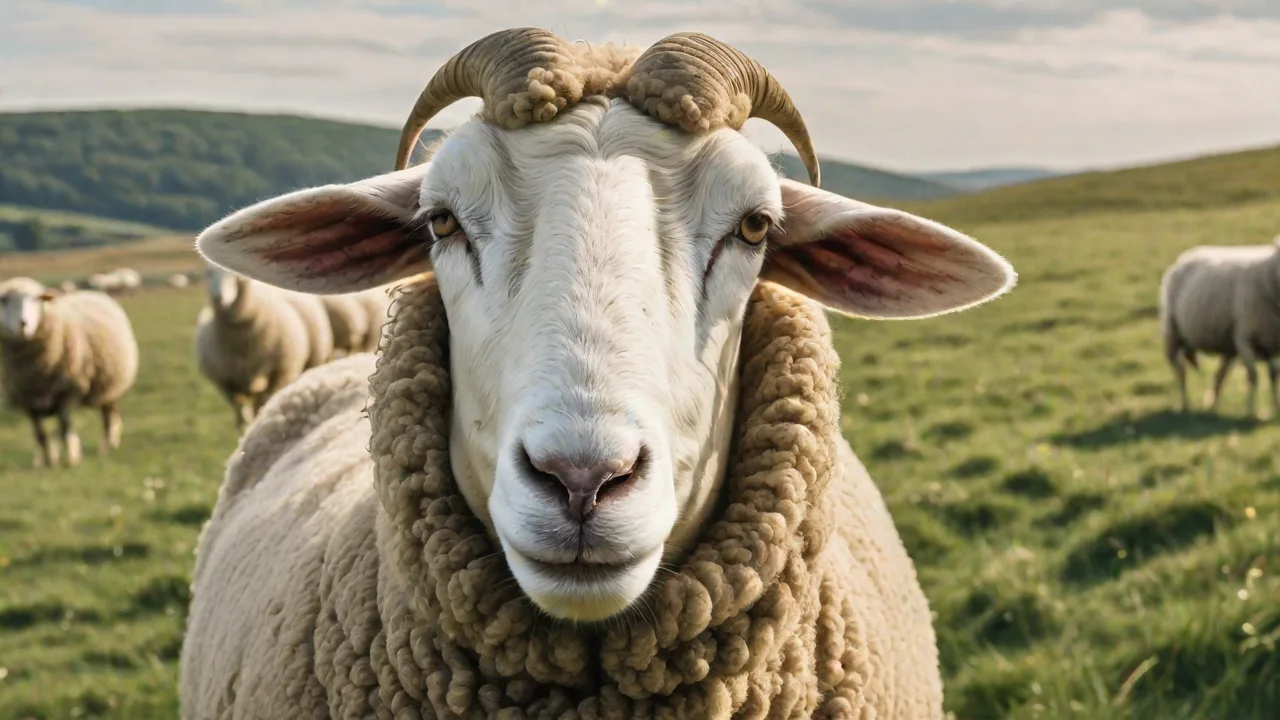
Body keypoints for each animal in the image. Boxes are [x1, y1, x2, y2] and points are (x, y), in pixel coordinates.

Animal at [0, 277, 139, 467]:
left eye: (37, 299)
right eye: (4, 300)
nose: (23, 324)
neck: (34, 370)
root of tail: (92, 291)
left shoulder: (67, 390)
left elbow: (65, 427)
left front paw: (71, 459)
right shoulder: (28, 399)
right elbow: (41, 435)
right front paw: (47, 461)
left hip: (110, 386)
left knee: (109, 417)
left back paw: (108, 446)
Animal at [194, 265, 315, 431]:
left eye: (234, 275)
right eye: (209, 274)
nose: (218, 298)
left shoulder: (276, 375)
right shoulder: (228, 383)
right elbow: (242, 414)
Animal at [1160, 235, 1280, 417]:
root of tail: (1185, 257)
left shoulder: (1271, 342)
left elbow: (1274, 376)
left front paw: (1275, 408)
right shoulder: (1244, 338)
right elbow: (1253, 376)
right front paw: (1250, 411)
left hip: (1223, 345)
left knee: (1218, 376)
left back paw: (1212, 406)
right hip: (1172, 332)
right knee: (1180, 371)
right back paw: (1184, 405)